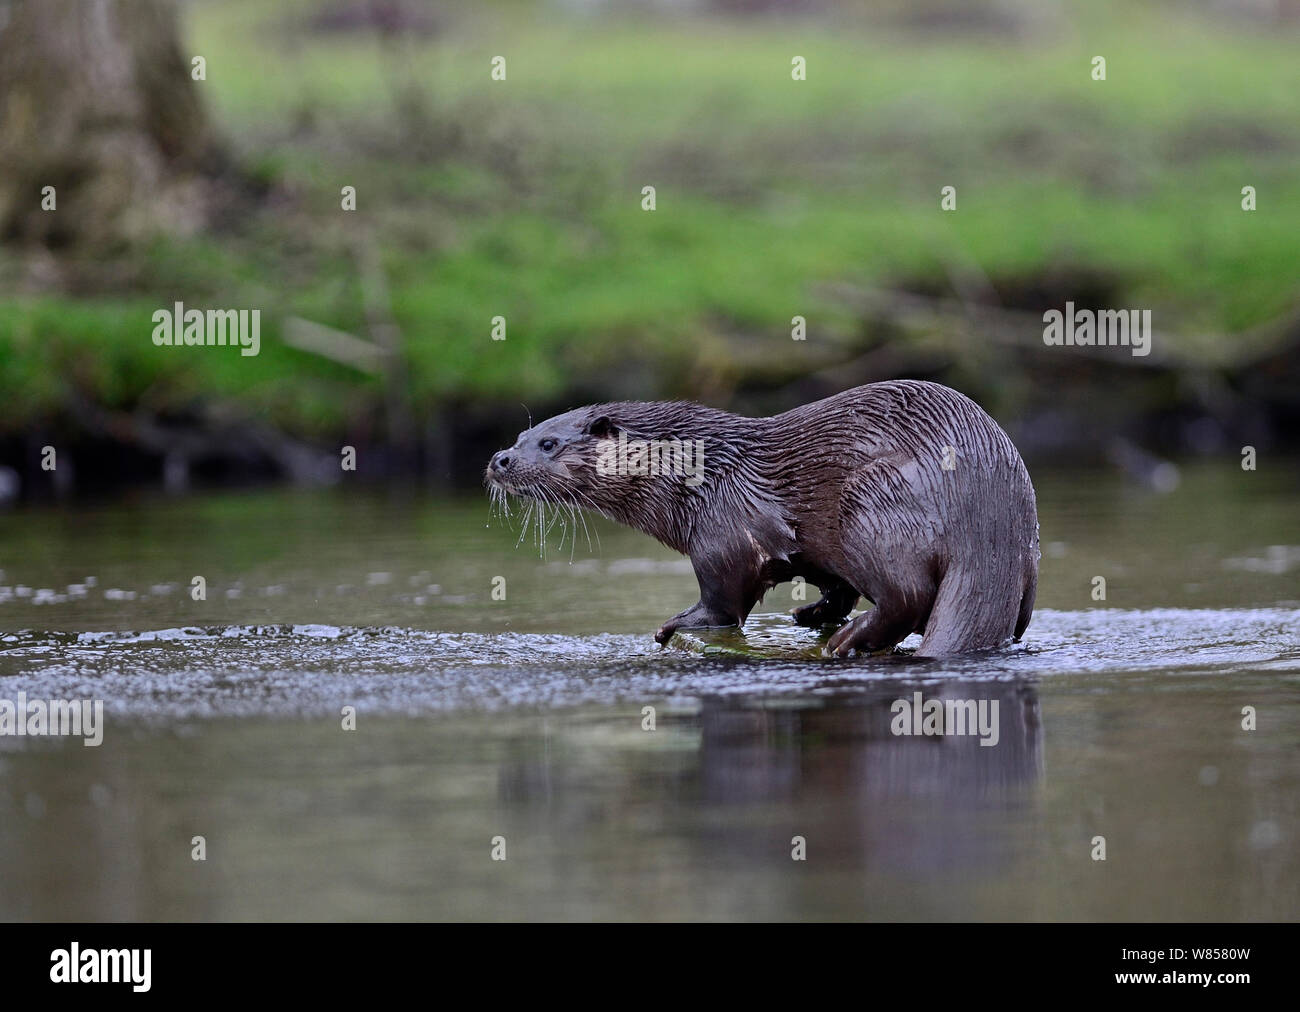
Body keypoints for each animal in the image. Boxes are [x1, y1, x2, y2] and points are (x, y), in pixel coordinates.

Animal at [485, 380, 1039, 657]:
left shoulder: (724, 533)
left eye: (549, 443)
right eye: (520, 435)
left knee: (908, 594)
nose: (498, 459)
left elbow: (725, 598)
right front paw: (811, 612)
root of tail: (991, 516)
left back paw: (847, 643)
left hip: (871, 498)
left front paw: (677, 624)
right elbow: (832, 585)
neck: (698, 474)